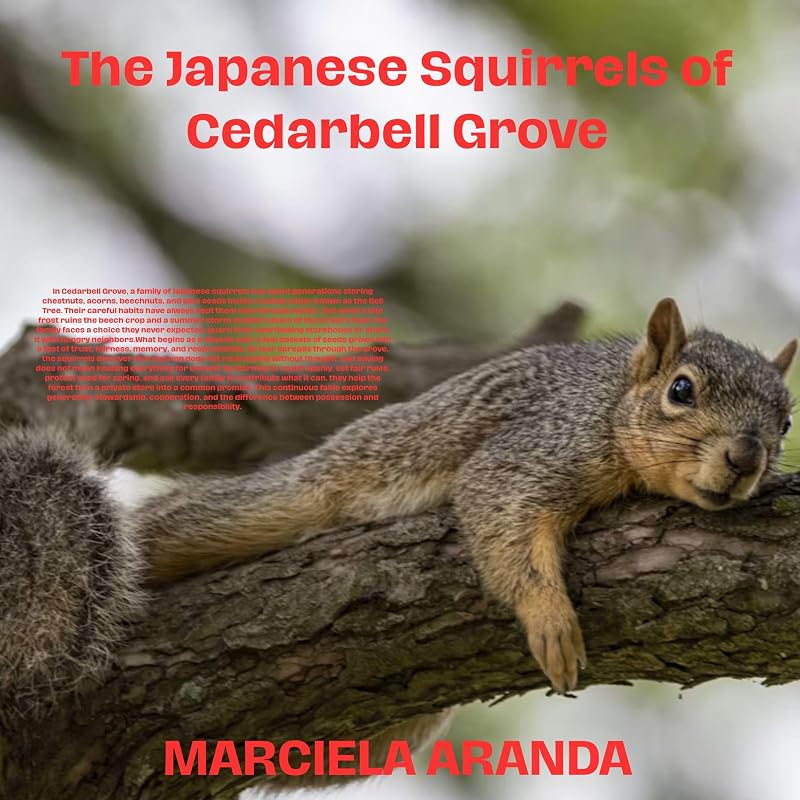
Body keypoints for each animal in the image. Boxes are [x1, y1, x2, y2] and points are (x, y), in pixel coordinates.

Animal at [0, 298, 796, 724]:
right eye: (682, 390)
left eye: (786, 420)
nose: (745, 458)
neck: (610, 404)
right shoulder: (538, 446)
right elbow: (500, 507)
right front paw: (550, 620)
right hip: (292, 495)